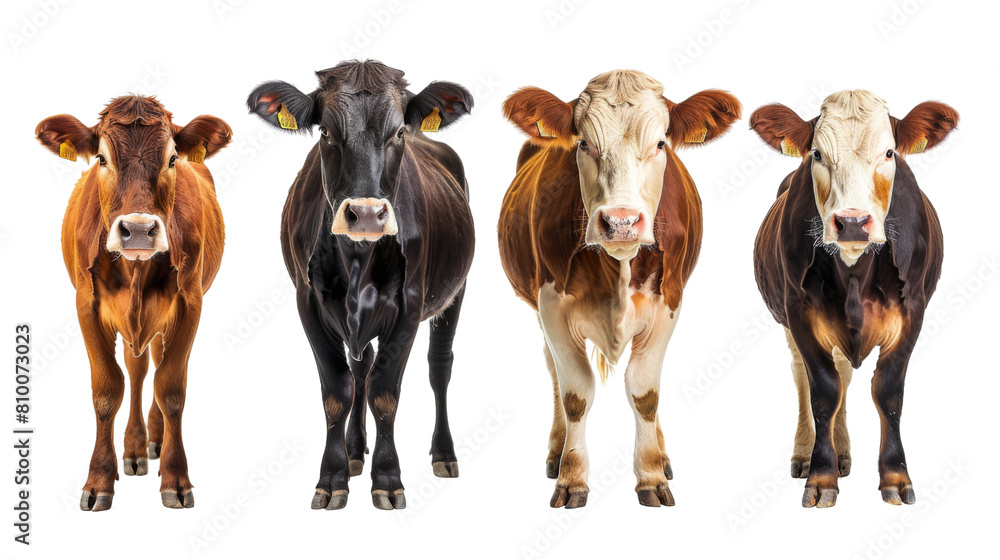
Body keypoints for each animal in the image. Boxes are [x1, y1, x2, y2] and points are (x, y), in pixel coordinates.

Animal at [36, 96, 232, 511]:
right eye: (101, 158)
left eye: (172, 159)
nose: (139, 230)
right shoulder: (87, 305)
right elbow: (108, 389)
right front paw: (98, 481)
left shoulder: (190, 304)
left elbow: (171, 387)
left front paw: (176, 479)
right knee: (138, 370)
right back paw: (136, 449)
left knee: (154, 367)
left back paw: (154, 441)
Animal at [246, 60, 475, 510]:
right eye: (325, 132)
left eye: (398, 132)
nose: (366, 214)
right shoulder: (308, 304)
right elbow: (339, 389)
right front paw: (333, 476)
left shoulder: (409, 306)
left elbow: (385, 392)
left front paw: (387, 478)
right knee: (360, 370)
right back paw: (354, 450)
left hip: (455, 293)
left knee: (438, 367)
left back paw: (443, 453)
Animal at [498, 70, 740, 508]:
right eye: (583, 143)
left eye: (660, 143)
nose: (621, 222)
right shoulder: (550, 306)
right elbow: (576, 394)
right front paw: (572, 477)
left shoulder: (669, 305)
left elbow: (645, 393)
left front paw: (651, 475)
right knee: (554, 371)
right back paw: (556, 450)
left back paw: (662, 455)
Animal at [749, 90, 957, 508]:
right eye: (817, 154)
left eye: (890, 153)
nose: (852, 223)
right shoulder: (799, 313)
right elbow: (823, 392)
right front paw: (821, 476)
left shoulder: (913, 312)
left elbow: (888, 391)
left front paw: (895, 477)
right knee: (806, 377)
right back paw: (807, 454)